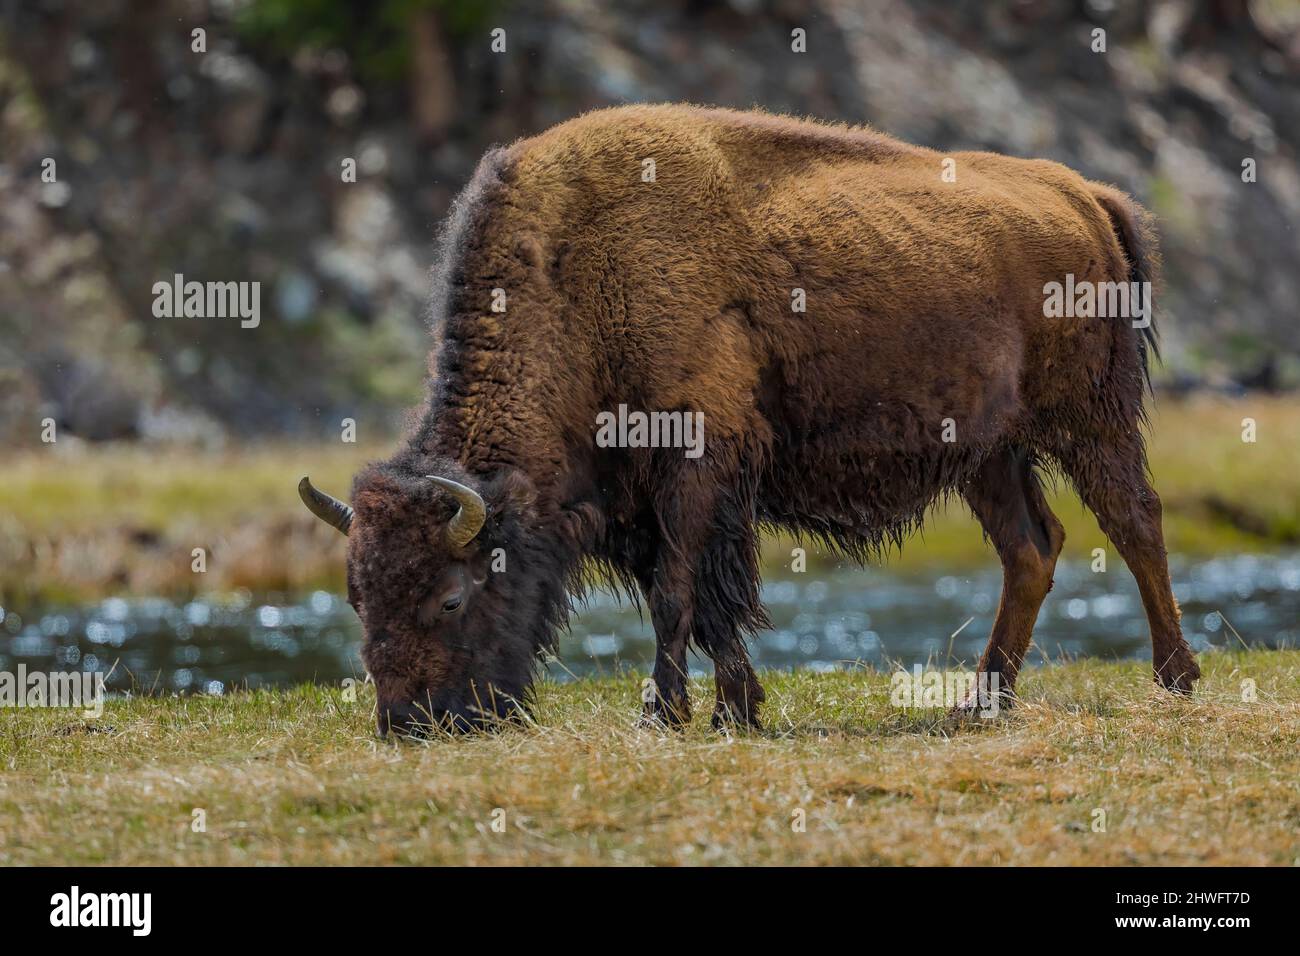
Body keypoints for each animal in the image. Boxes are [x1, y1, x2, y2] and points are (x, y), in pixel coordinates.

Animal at [299, 104, 1200, 736]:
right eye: (357, 598)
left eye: (451, 598)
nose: (411, 724)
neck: (579, 282)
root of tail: (1086, 197)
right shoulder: (650, 502)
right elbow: (702, 604)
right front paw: (737, 706)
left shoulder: (696, 471)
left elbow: (680, 594)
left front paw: (666, 713)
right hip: (990, 454)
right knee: (1032, 549)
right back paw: (981, 701)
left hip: (1090, 422)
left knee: (1135, 521)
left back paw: (1175, 677)